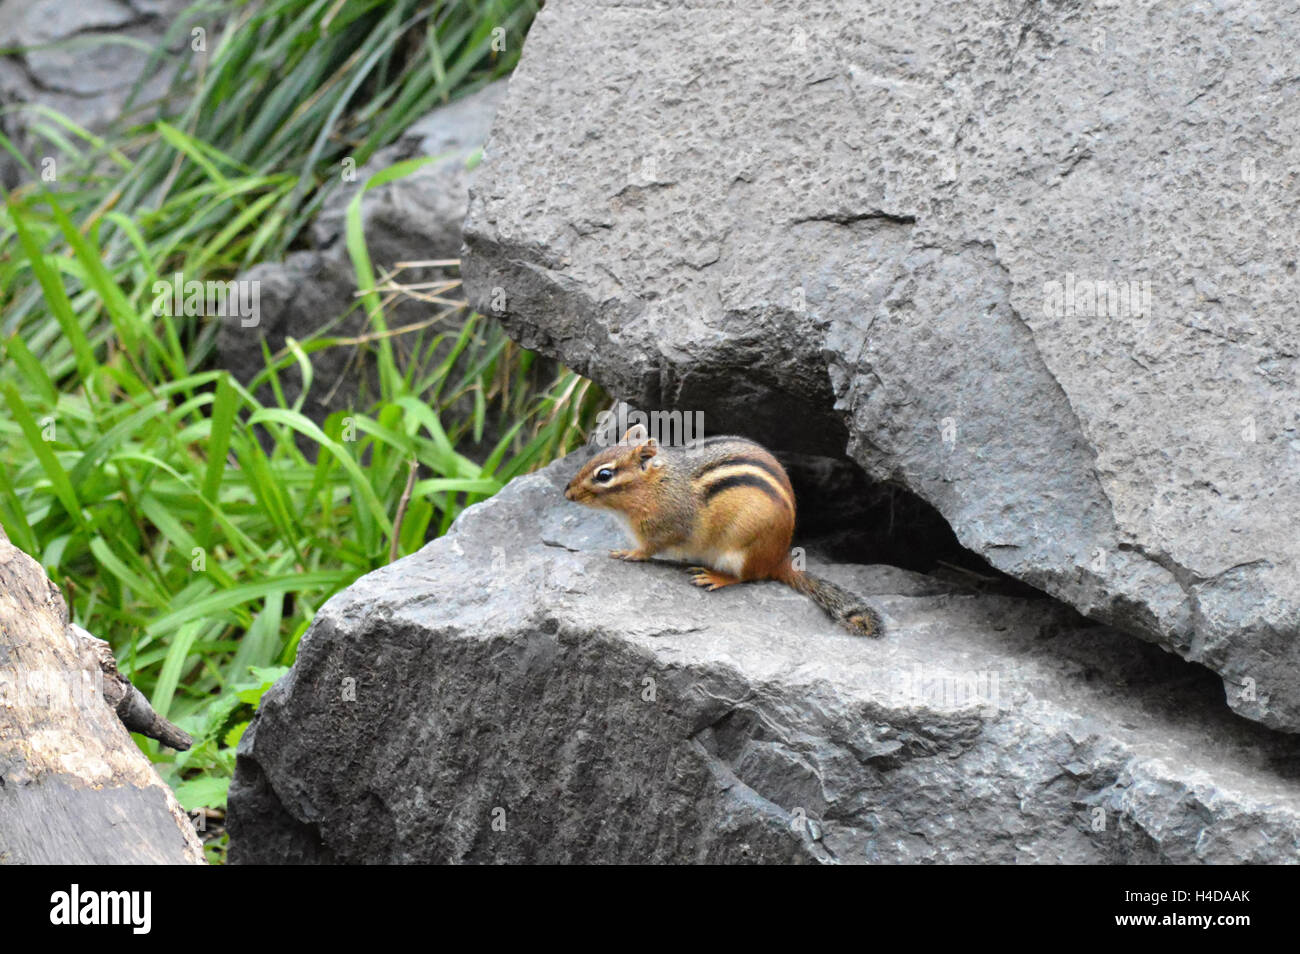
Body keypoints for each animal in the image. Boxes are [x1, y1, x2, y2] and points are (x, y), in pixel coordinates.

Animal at [563, 424, 883, 637]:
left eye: (604, 475)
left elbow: (650, 548)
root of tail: (779, 558)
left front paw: (629, 552)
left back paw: (715, 577)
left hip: (739, 551)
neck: (658, 486)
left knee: (748, 577)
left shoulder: (667, 528)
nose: (567, 492)